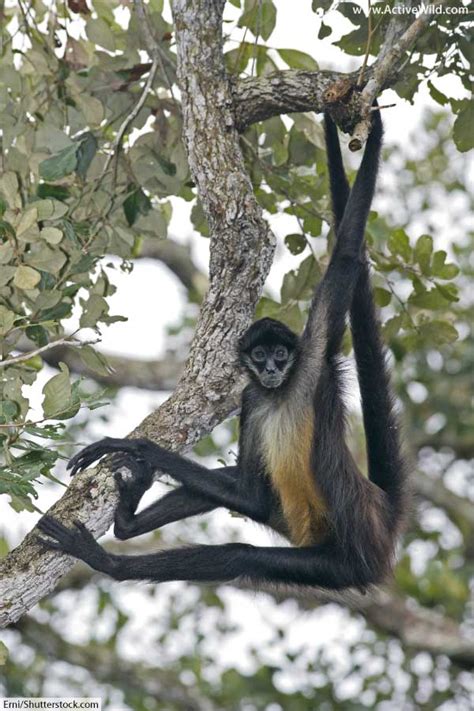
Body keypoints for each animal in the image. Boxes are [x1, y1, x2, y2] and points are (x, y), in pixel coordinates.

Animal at [37, 108, 409, 591]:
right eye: (259, 356)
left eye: (280, 355)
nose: (270, 369)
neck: (278, 393)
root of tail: (377, 513)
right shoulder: (251, 398)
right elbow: (247, 493)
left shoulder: (312, 360)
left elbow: (346, 255)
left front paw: (138, 447)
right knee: (239, 492)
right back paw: (127, 523)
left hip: (343, 564)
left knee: (239, 555)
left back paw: (109, 561)